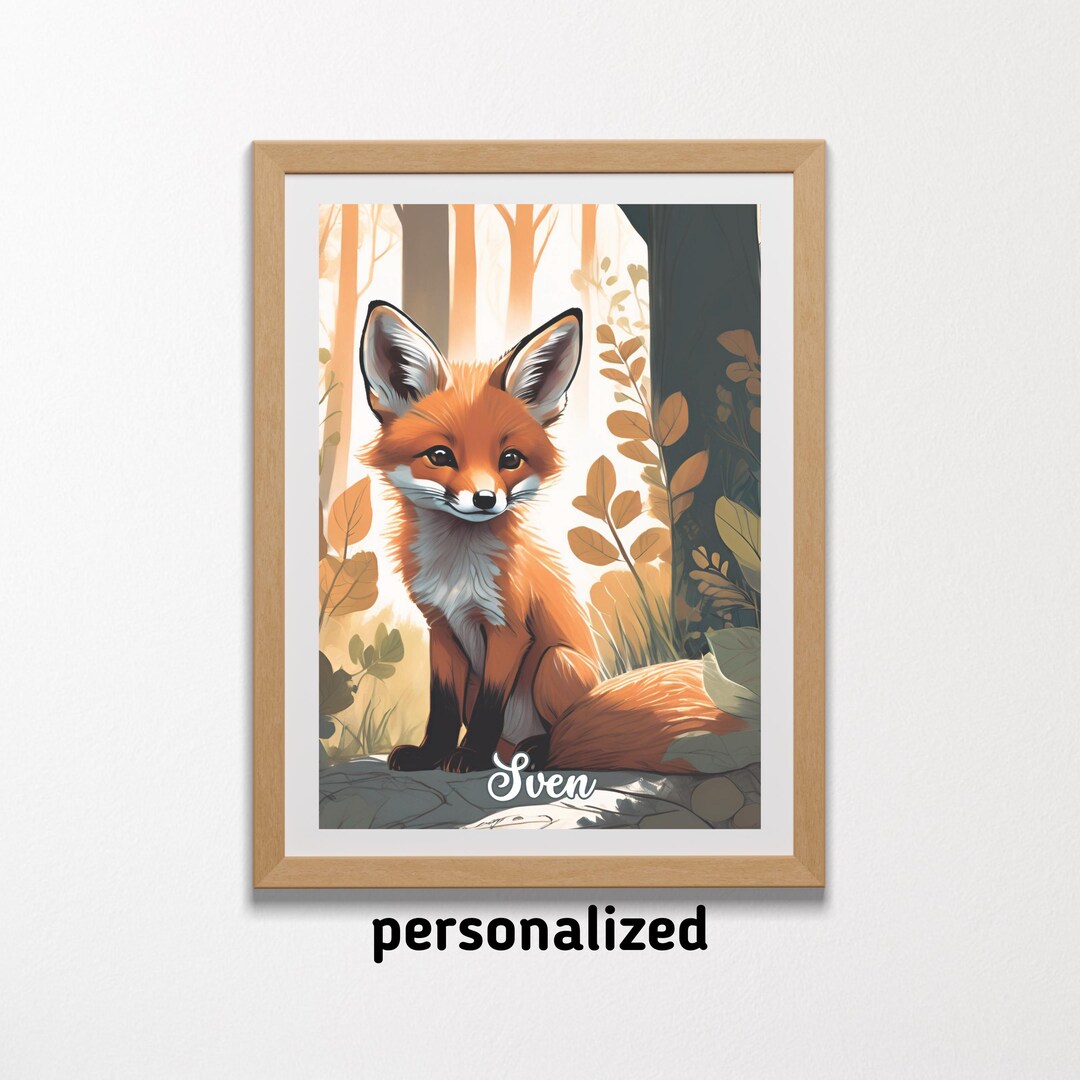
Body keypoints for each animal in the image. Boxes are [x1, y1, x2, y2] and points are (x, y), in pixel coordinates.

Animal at [358, 300, 746, 774]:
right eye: (440, 456)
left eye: (510, 459)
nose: (485, 499)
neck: (458, 570)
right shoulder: (442, 631)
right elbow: (442, 708)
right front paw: (431, 754)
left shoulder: (508, 630)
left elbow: (489, 709)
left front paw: (469, 756)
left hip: (553, 663)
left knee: (560, 736)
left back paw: (533, 752)